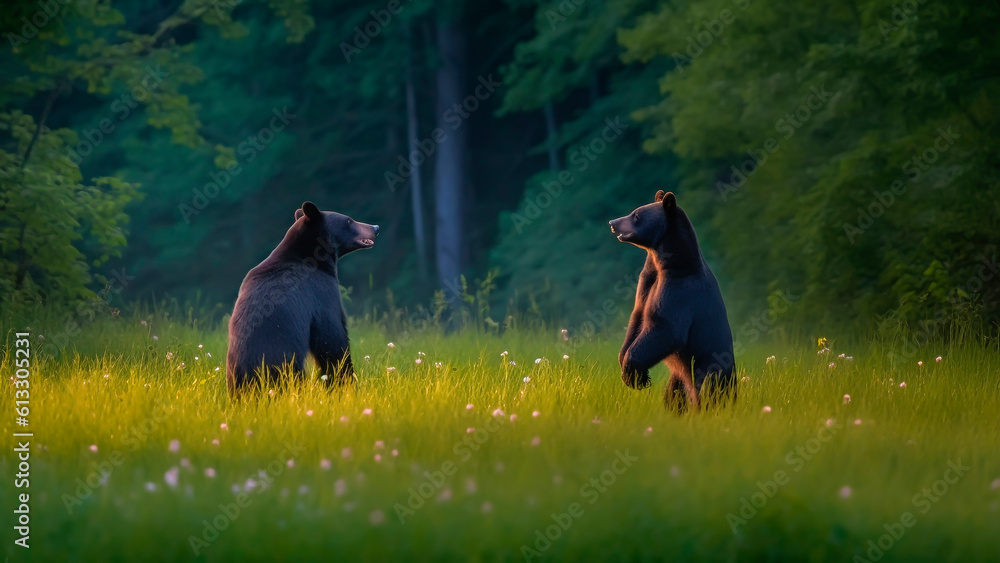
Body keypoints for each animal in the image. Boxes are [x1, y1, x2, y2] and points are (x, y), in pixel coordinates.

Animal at [226, 201, 379, 398]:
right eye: (349, 221)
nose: (375, 227)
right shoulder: (320, 292)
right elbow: (332, 337)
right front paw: (345, 382)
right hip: (287, 362)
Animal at [609, 190, 735, 411]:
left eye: (636, 215)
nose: (613, 222)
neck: (665, 263)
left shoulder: (679, 290)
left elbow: (666, 327)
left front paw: (634, 375)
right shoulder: (647, 281)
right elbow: (637, 318)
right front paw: (626, 364)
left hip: (709, 369)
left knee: (710, 393)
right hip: (678, 377)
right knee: (674, 395)